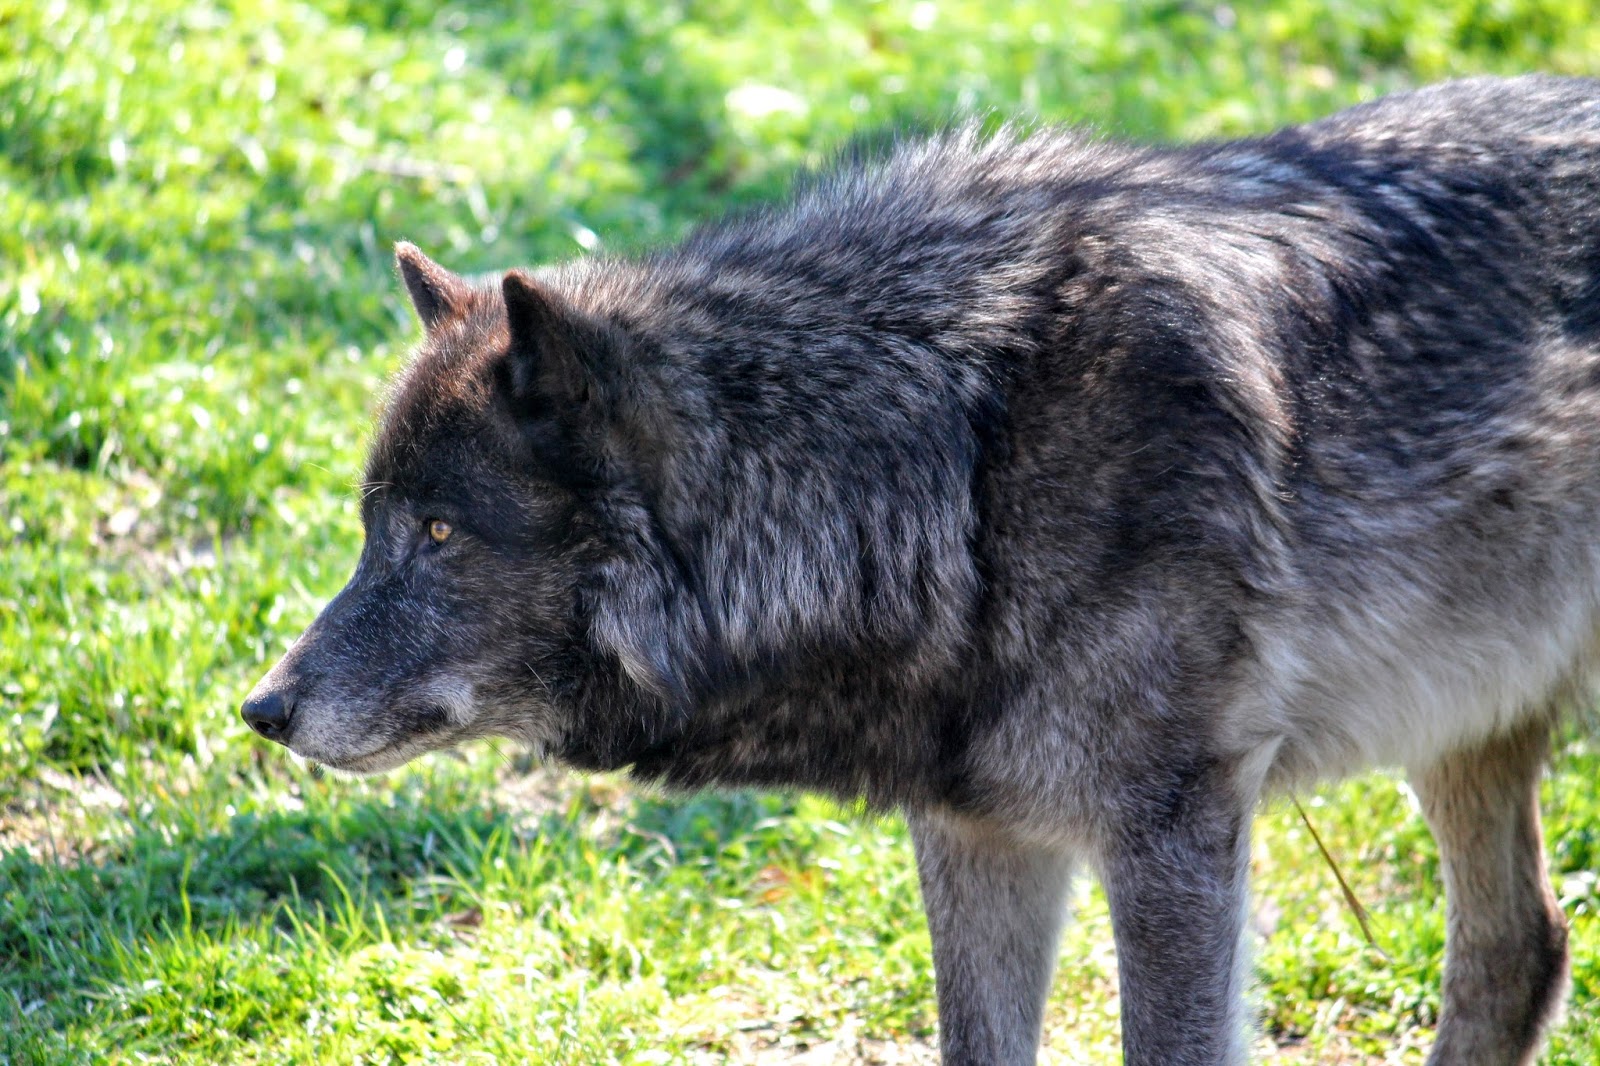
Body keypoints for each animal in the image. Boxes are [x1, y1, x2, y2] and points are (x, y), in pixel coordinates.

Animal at [243, 74, 1600, 1063]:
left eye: (438, 534)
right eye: (372, 525)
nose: (261, 708)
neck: (954, 467)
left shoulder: (1175, 831)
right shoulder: (977, 831)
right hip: (1460, 724)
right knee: (1521, 947)